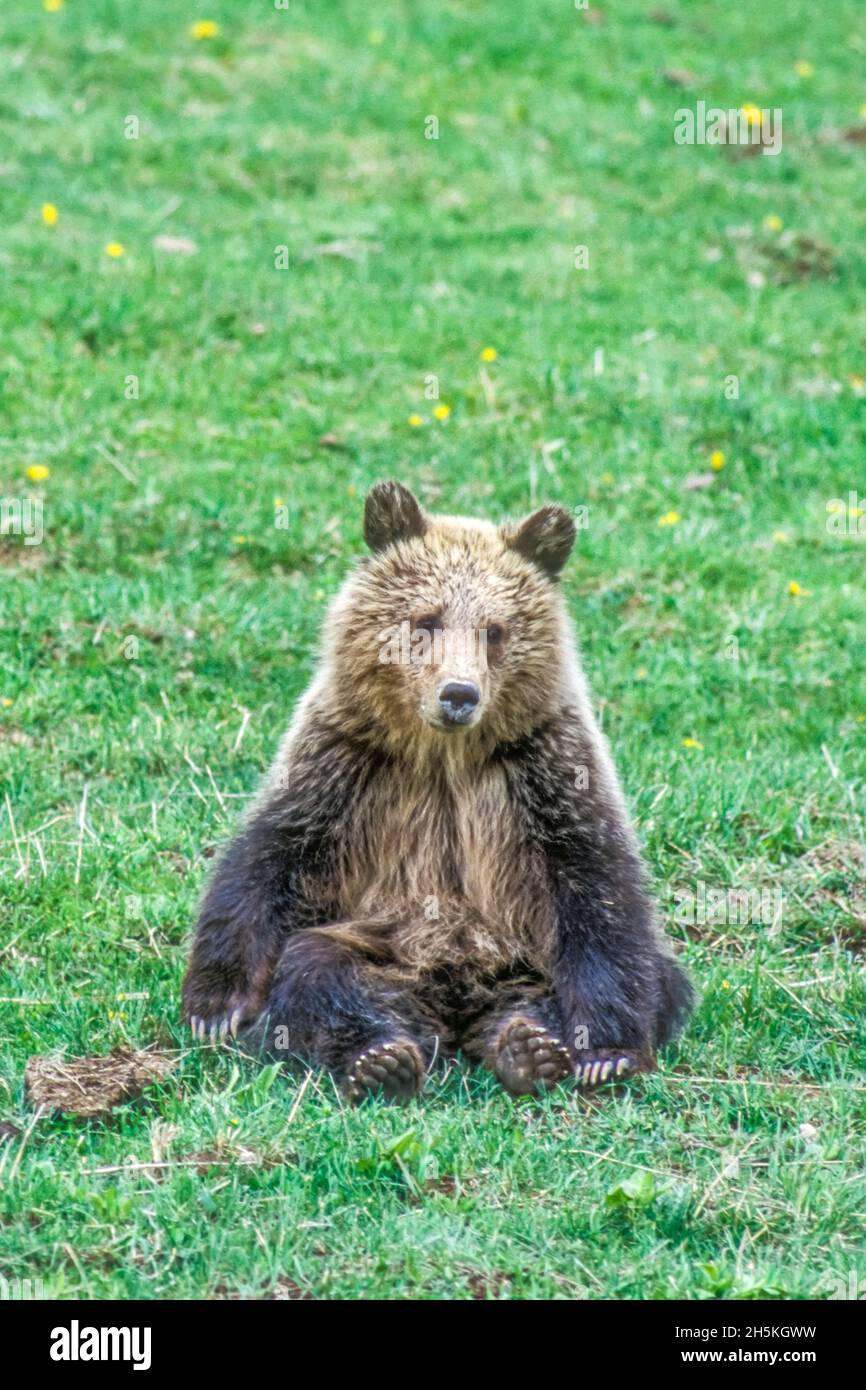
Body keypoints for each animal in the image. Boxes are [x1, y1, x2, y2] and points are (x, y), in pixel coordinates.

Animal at [182, 481, 693, 1100]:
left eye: (494, 630)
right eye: (425, 619)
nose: (459, 693)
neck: (444, 756)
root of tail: (456, 1003)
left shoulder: (545, 768)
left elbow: (599, 888)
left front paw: (607, 1052)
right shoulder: (347, 762)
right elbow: (272, 856)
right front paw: (216, 1006)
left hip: (526, 954)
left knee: (653, 976)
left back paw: (527, 1047)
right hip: (384, 944)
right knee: (317, 968)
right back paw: (382, 1059)